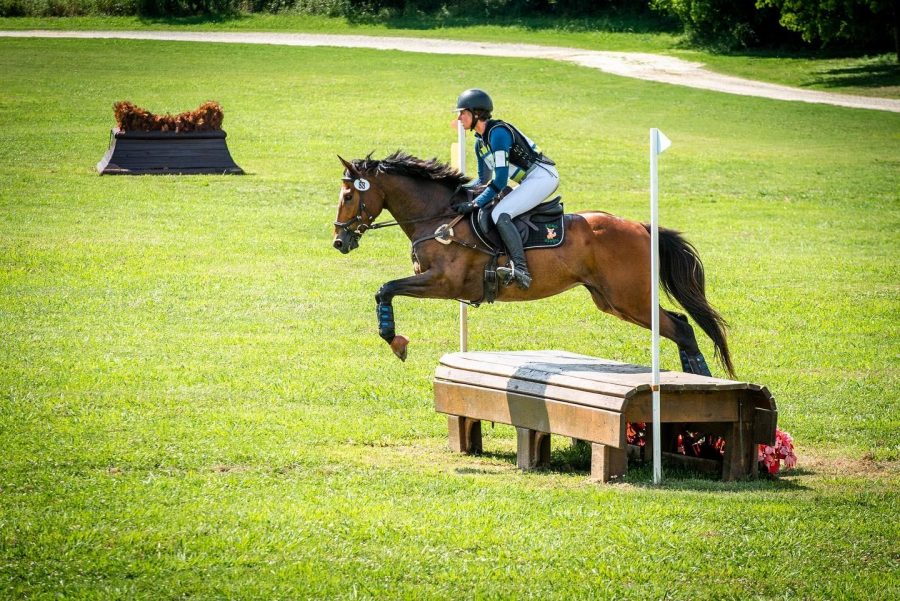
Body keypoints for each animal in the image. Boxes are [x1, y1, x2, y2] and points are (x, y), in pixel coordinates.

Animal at [332, 151, 734, 379]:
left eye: (349, 196)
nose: (339, 241)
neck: (439, 217)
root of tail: (641, 226)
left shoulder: (444, 283)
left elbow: (385, 288)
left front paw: (395, 341)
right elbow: (385, 290)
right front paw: (395, 339)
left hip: (630, 298)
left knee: (681, 328)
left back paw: (703, 382)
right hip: (614, 301)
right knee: (680, 324)